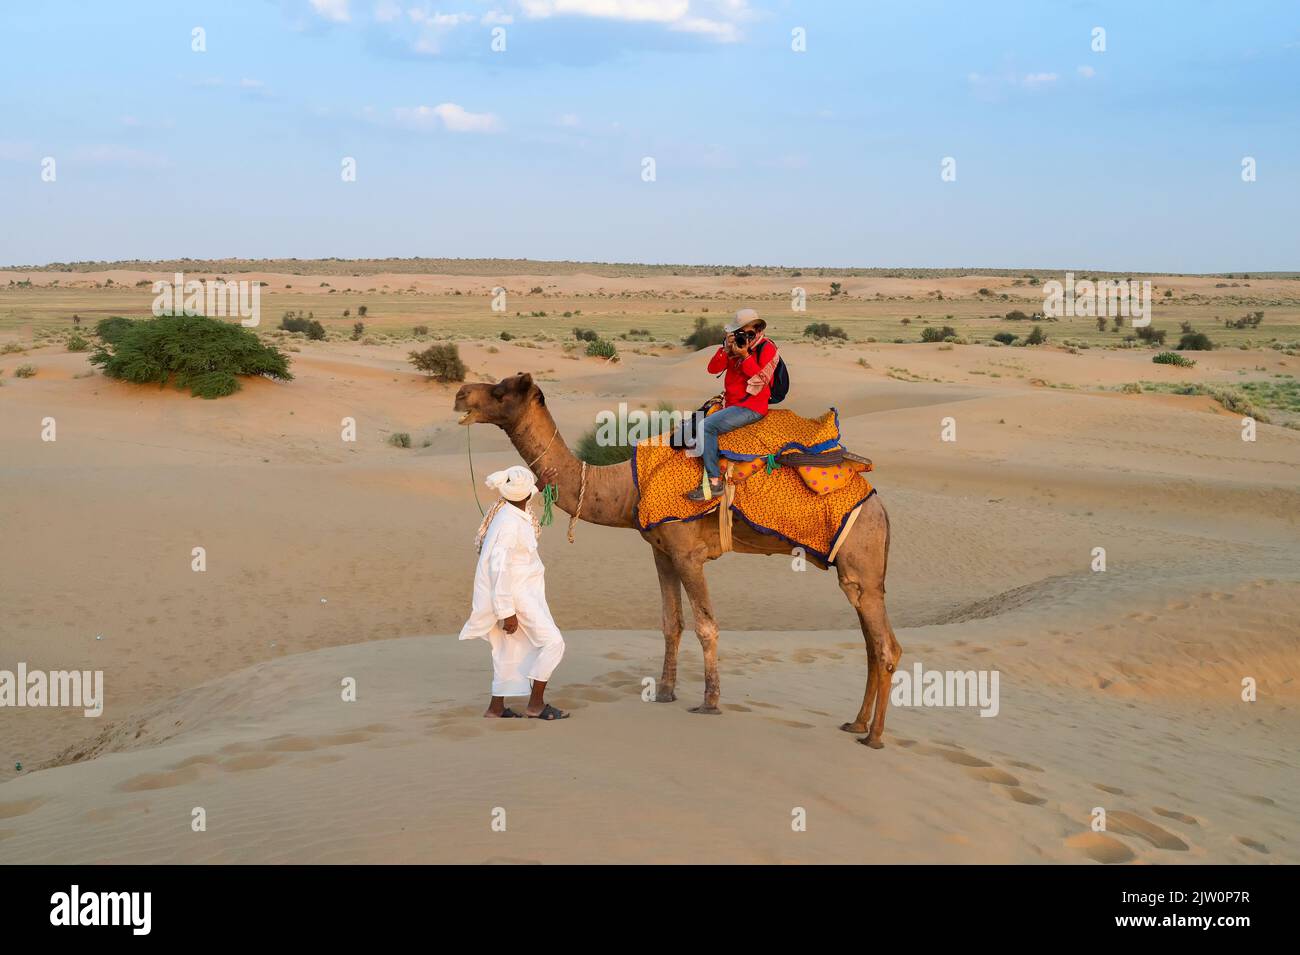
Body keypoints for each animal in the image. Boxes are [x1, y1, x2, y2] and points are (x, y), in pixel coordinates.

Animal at [454, 373, 903, 747]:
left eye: (501, 390)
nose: (460, 394)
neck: (627, 488)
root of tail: (879, 505)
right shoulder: (662, 551)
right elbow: (672, 623)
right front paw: (666, 692)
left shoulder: (688, 554)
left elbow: (706, 626)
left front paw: (709, 701)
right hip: (861, 574)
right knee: (872, 643)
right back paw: (856, 723)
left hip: (859, 560)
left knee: (884, 647)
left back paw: (874, 736)